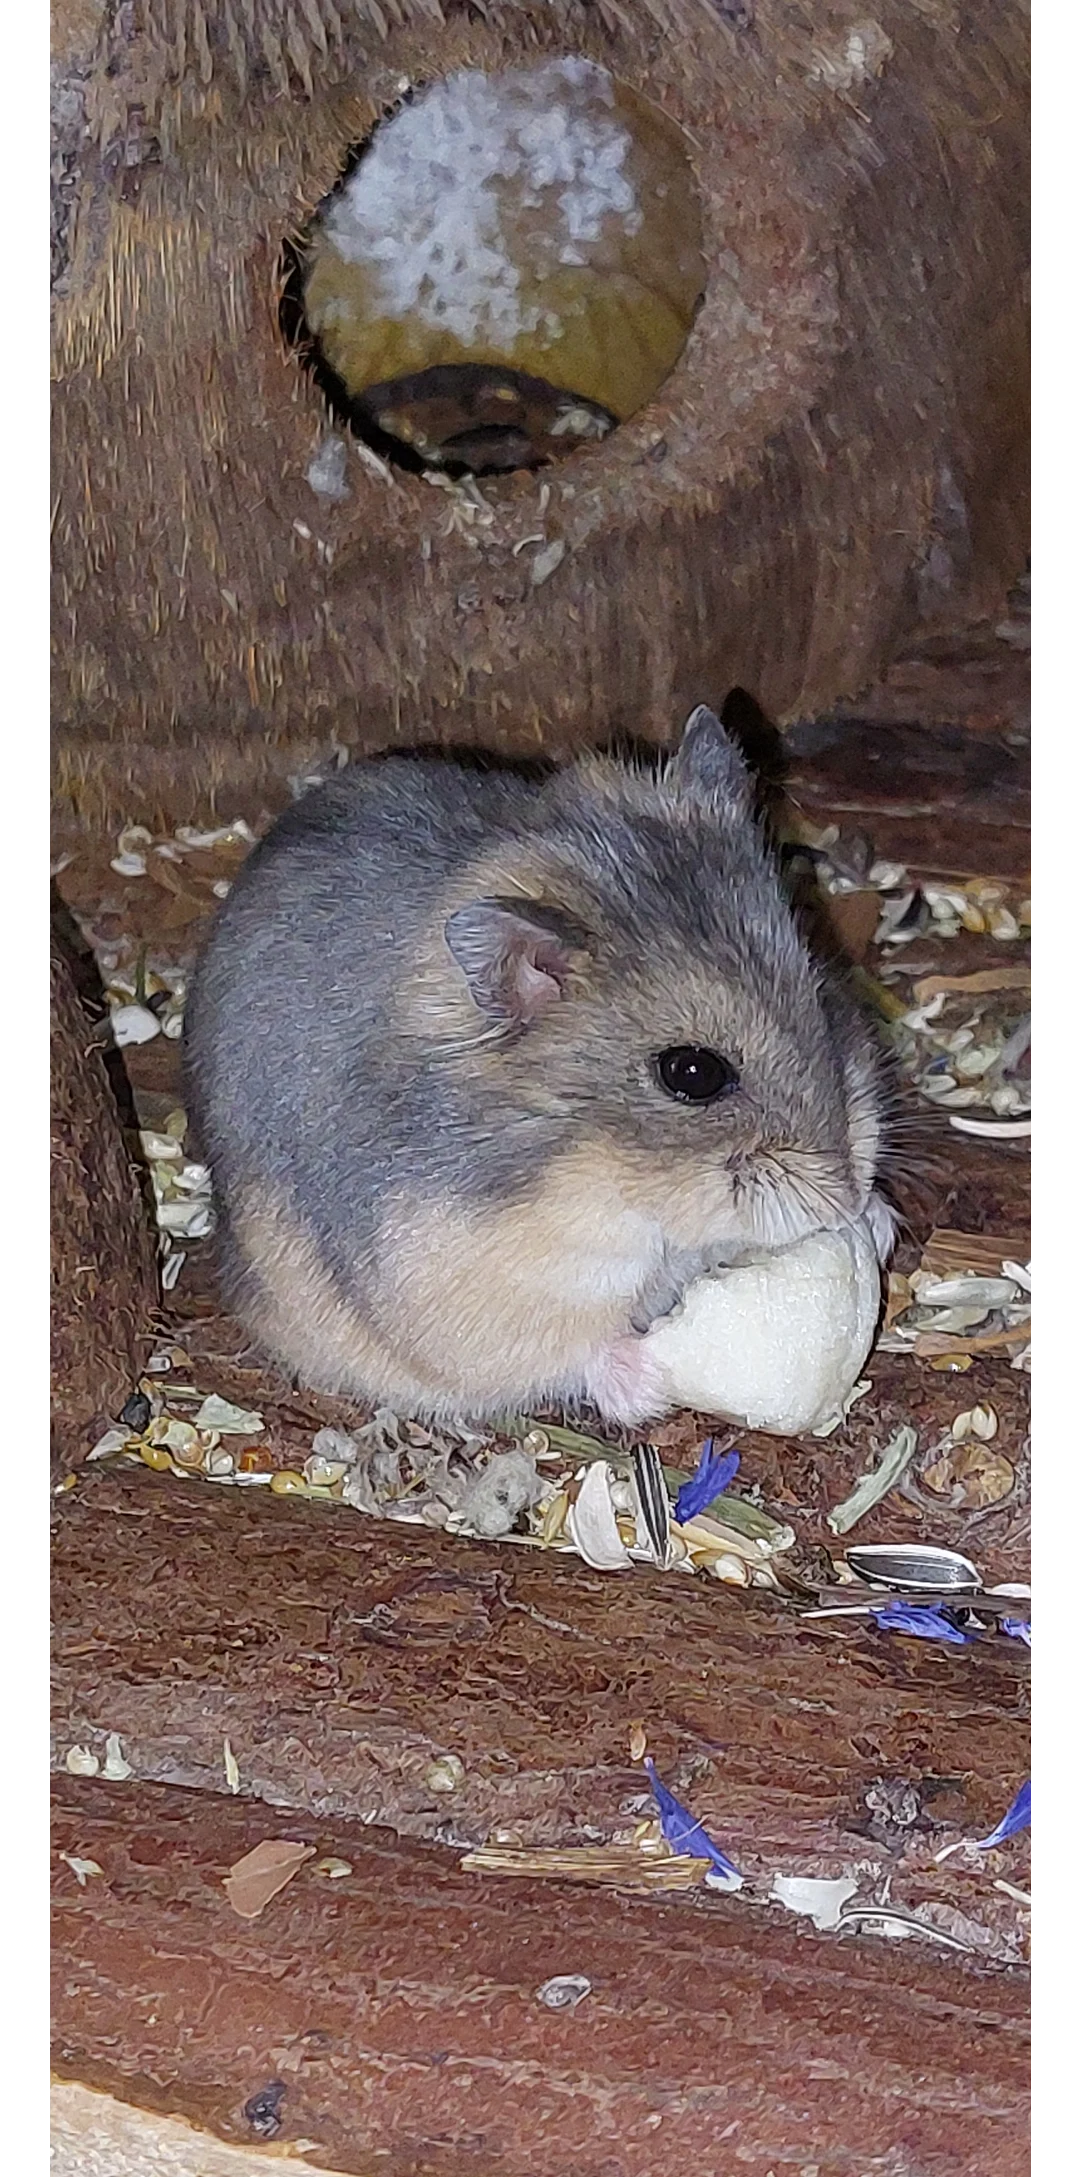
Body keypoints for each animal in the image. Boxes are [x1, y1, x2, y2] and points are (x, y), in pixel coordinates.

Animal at [183, 706, 896, 1426]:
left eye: (819, 993)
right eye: (692, 1073)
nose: (839, 1197)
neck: (603, 1177)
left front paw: (877, 1220)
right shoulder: (474, 1288)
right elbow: (575, 1350)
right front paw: (645, 1381)